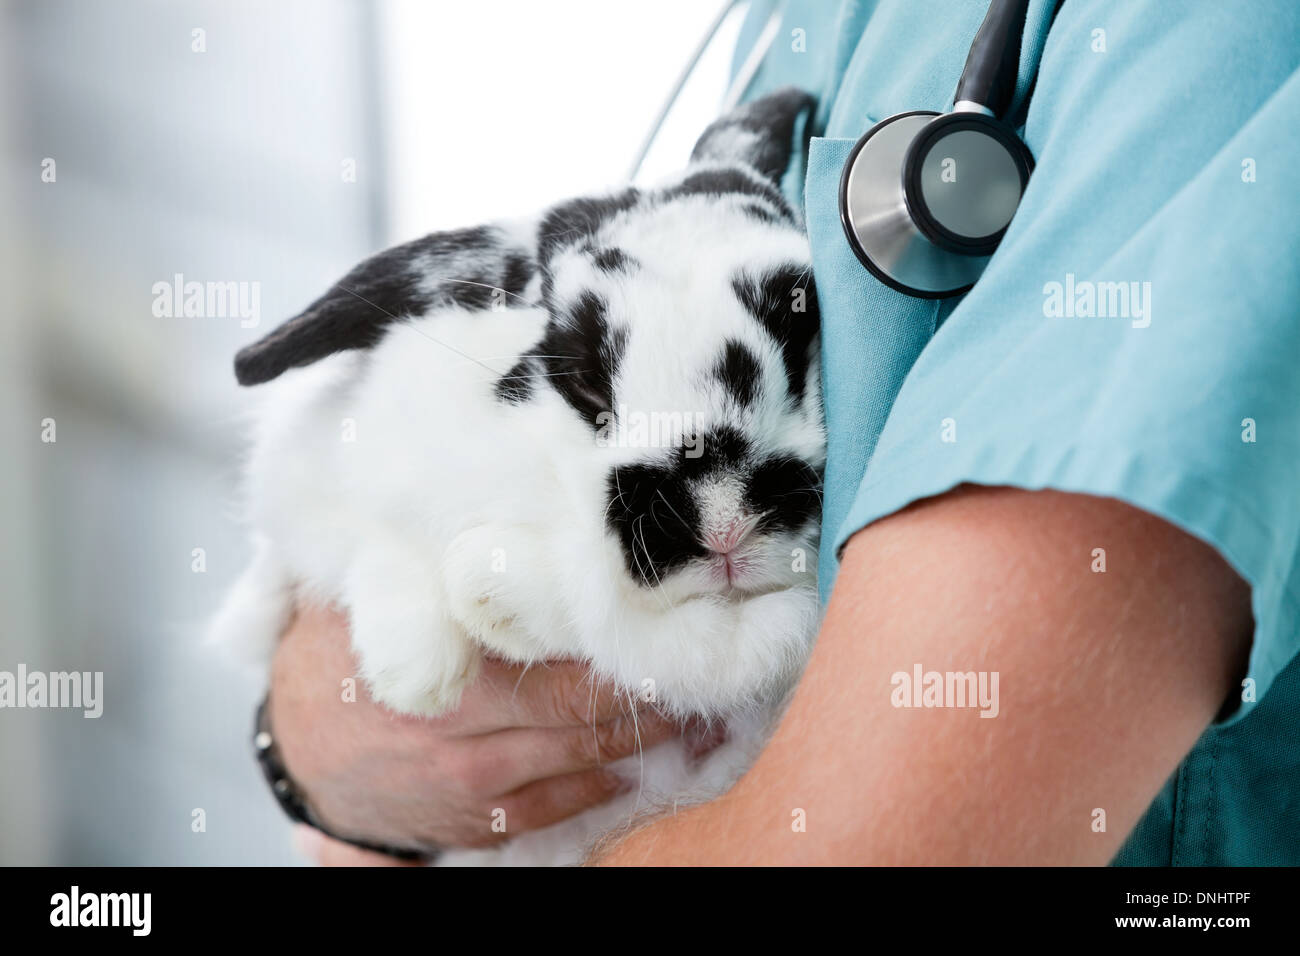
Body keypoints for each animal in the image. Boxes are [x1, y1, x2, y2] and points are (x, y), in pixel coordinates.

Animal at [211, 88, 826, 865]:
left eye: (803, 339)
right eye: (582, 379)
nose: (723, 520)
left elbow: (634, 627)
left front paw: (493, 594)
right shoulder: (314, 474)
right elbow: (366, 535)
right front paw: (417, 674)